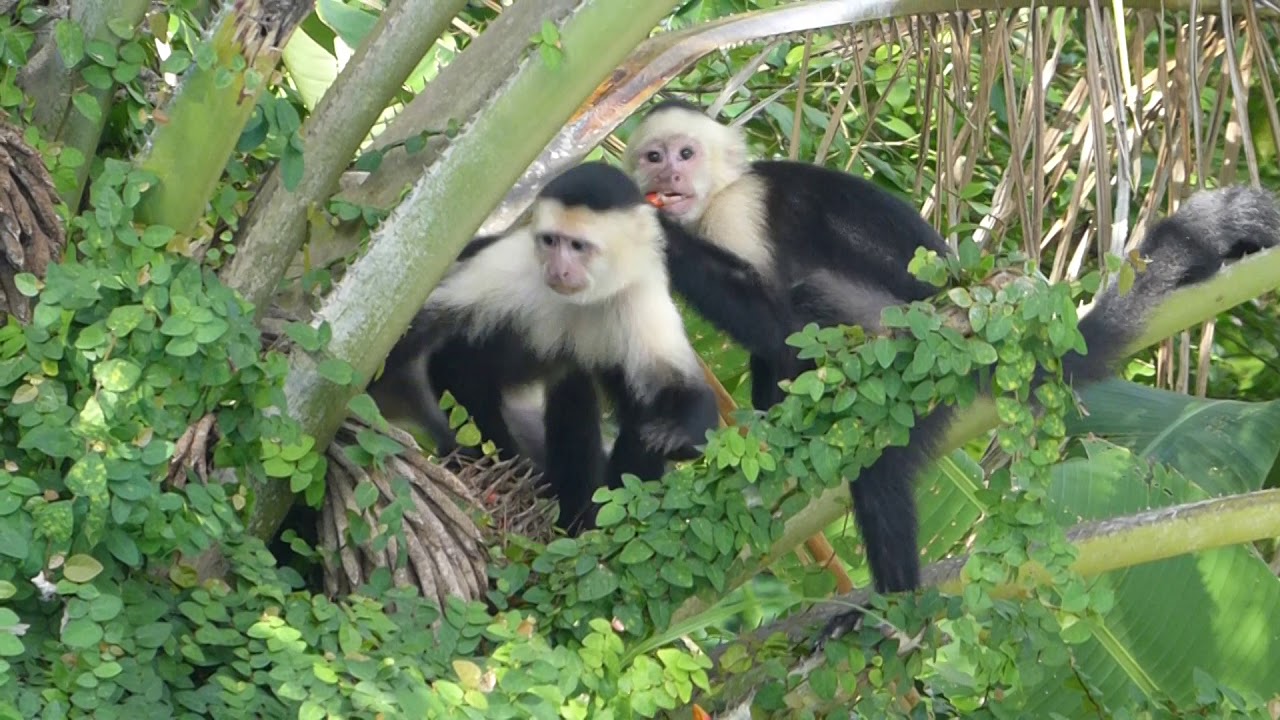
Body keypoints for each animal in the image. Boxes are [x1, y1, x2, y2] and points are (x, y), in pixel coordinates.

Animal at [368, 161, 720, 532]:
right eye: (550, 241)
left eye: (578, 246)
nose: (558, 269)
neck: (580, 298)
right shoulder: (510, 264)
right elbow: (422, 333)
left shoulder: (640, 294)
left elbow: (680, 392)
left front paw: (677, 433)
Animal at [623, 99, 1280, 602]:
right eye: (654, 156)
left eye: (686, 154)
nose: (668, 179)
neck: (717, 197)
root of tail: (981, 337)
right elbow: (770, 350)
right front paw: (759, 436)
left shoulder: (739, 214)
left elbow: (774, 321)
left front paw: (655, 234)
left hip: (915, 353)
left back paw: (893, 608)